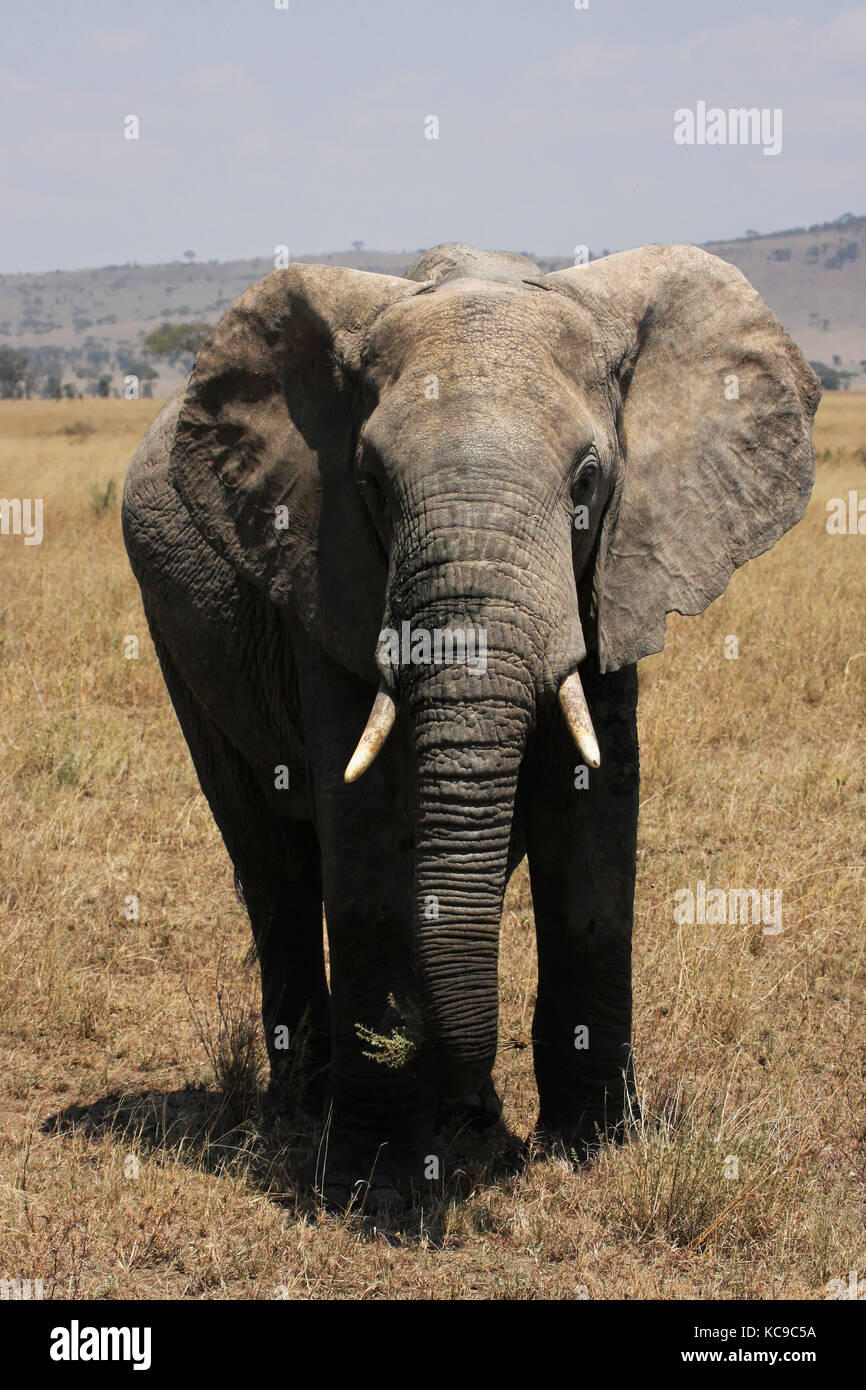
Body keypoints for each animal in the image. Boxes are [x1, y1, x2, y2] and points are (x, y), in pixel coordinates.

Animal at [122, 241, 820, 1212]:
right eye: (371, 485)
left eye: (587, 481)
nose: (421, 1066)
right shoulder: (326, 576)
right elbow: (368, 841)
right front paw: (375, 1187)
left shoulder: (615, 573)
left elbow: (593, 825)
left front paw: (597, 1150)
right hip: (177, 643)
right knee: (272, 868)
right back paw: (309, 1107)